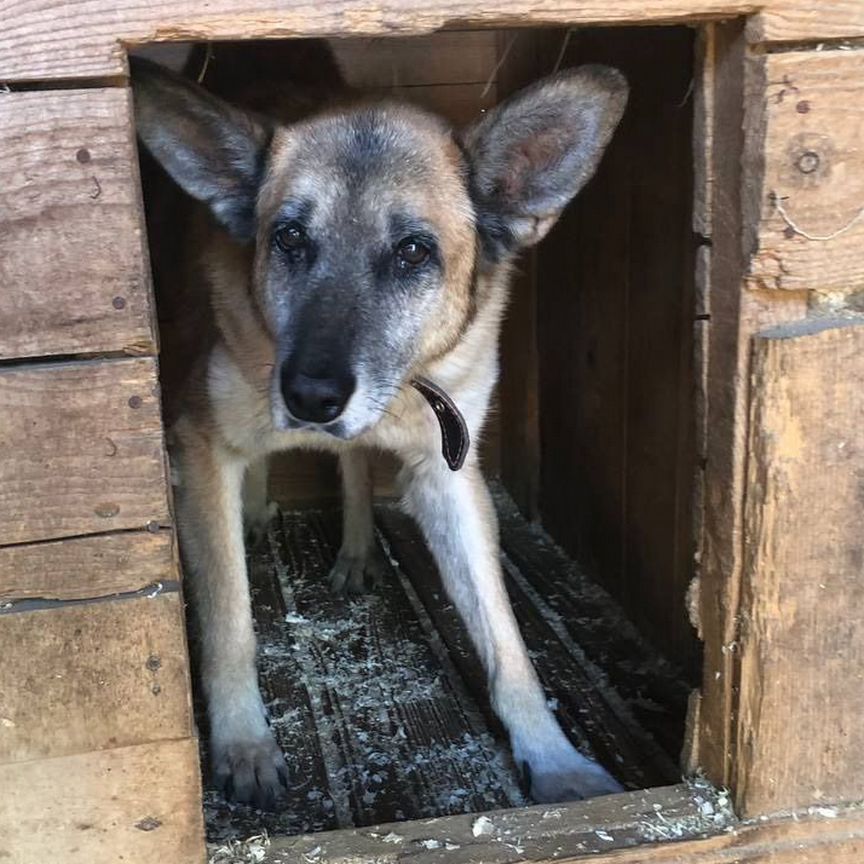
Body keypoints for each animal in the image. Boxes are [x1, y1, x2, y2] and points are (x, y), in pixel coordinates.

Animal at [130, 38, 628, 808]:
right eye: (290, 238)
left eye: (413, 252)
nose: (309, 395)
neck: (401, 388)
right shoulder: (201, 446)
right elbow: (229, 619)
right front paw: (244, 743)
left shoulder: (448, 475)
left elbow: (505, 636)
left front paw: (553, 757)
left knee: (356, 462)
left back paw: (358, 548)